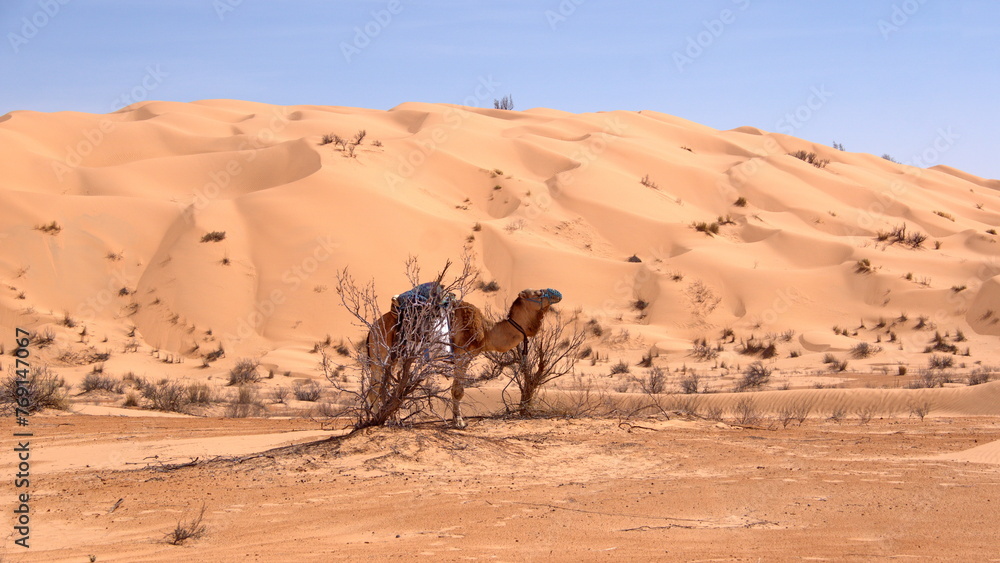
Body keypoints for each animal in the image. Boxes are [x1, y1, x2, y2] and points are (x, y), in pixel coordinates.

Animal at [365, 287, 562, 428]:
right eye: (537, 292)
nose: (557, 293)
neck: (486, 331)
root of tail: (373, 328)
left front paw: (456, 420)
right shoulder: (463, 356)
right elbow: (458, 390)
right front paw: (459, 422)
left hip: (392, 357)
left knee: (381, 387)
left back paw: (387, 418)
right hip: (380, 350)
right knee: (377, 387)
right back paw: (381, 419)